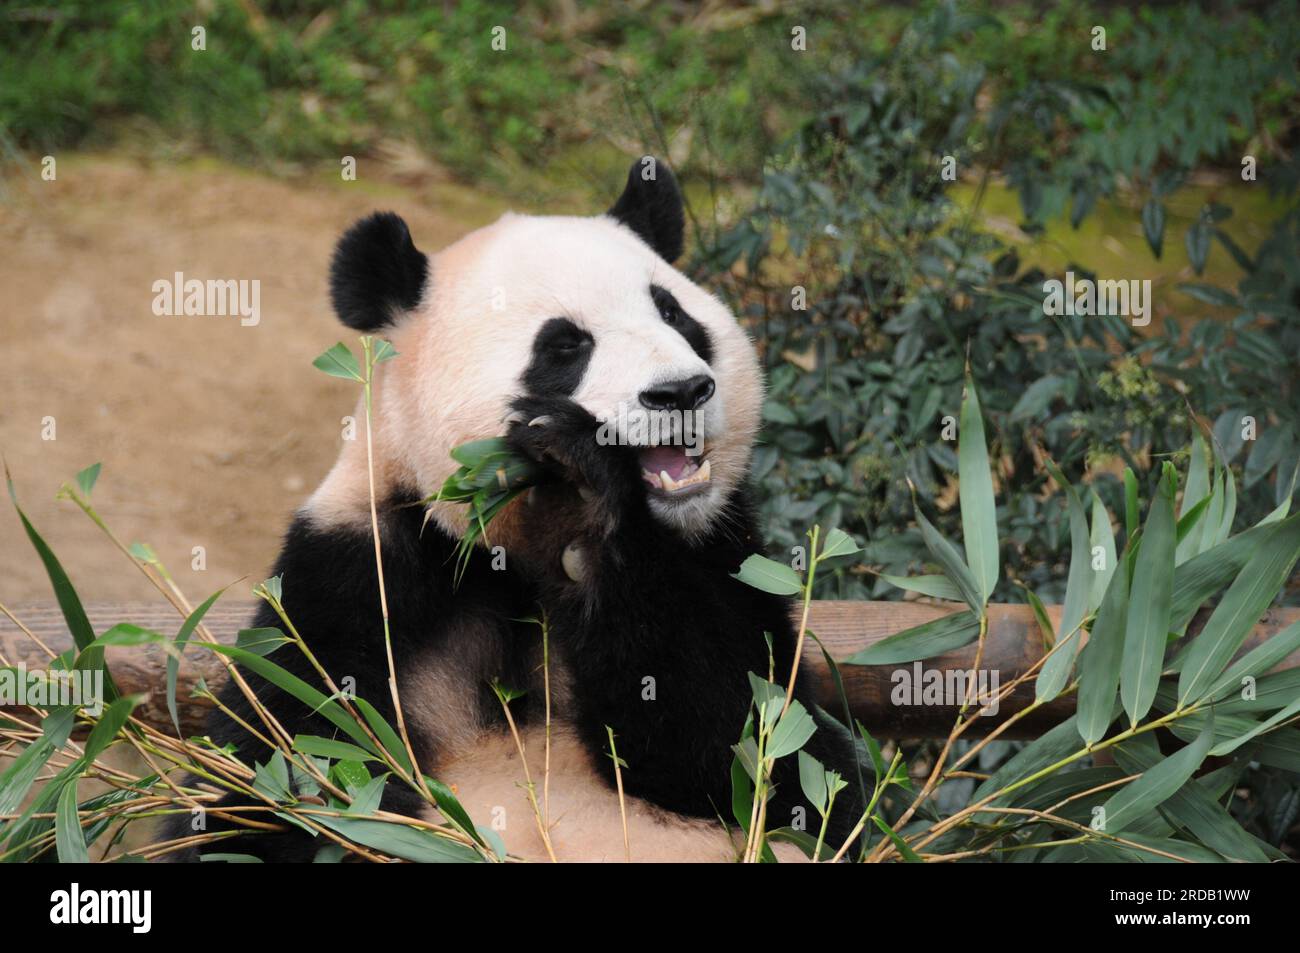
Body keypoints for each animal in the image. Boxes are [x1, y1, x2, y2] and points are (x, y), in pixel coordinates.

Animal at [173, 158, 865, 862]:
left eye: (674, 314)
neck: (508, 557)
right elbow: (279, 772)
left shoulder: (727, 554)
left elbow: (769, 758)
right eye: (564, 346)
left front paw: (585, 501)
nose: (682, 391)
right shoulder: (353, 569)